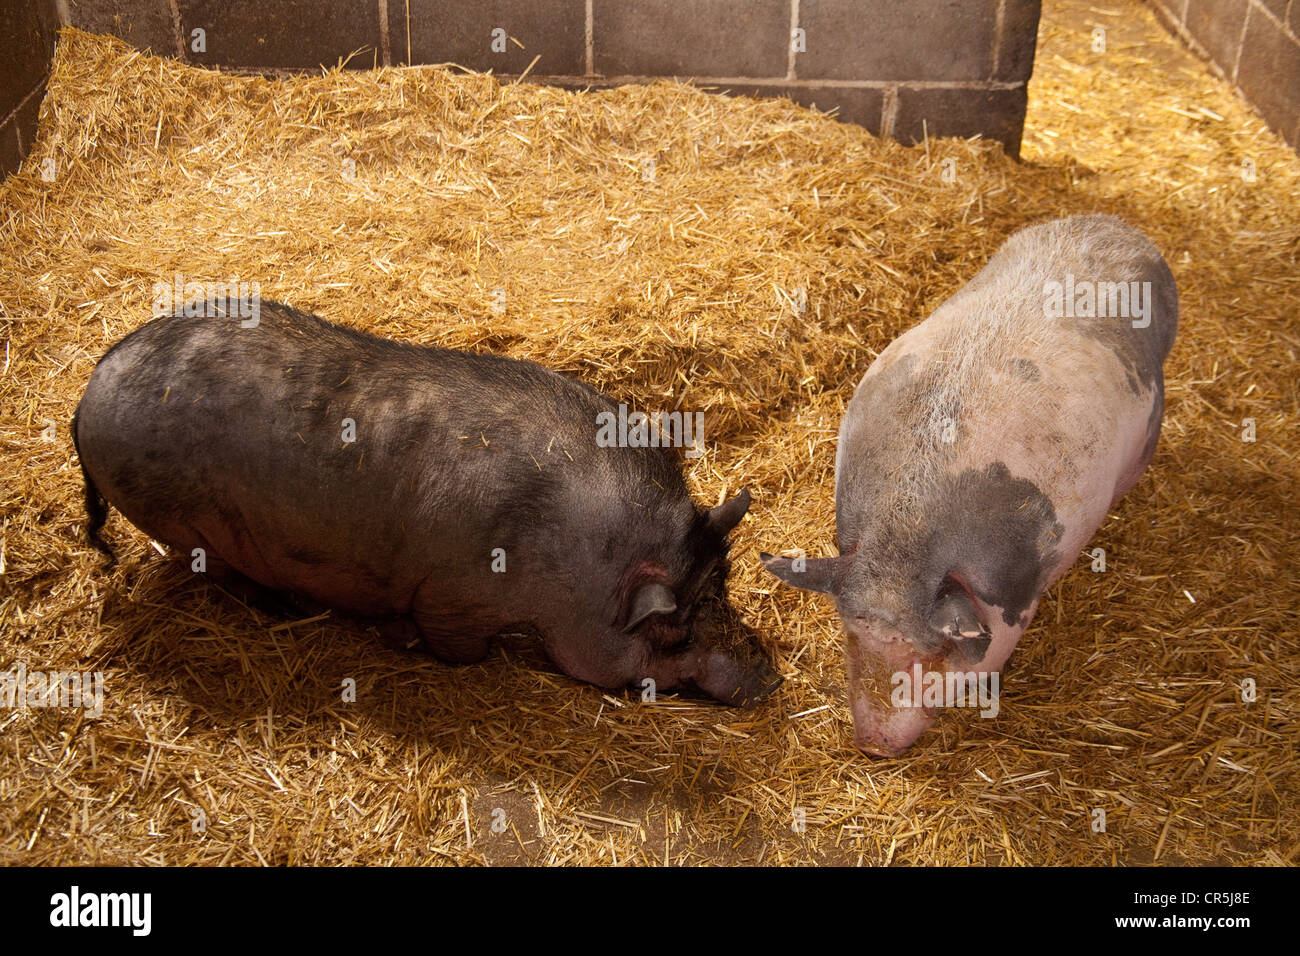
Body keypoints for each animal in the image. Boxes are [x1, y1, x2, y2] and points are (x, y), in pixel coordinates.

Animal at [73, 300, 780, 707]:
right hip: (185, 524)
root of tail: (84, 401)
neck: (580, 564)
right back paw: (280, 605)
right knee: (218, 573)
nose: (771, 680)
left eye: (725, 592)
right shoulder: (451, 600)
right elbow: (458, 649)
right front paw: (404, 642)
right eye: (676, 630)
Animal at [762, 215, 1177, 755]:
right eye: (851, 632)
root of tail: (1119, 228)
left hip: (1153, 412)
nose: (873, 744)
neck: (901, 551)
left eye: (936, 650)